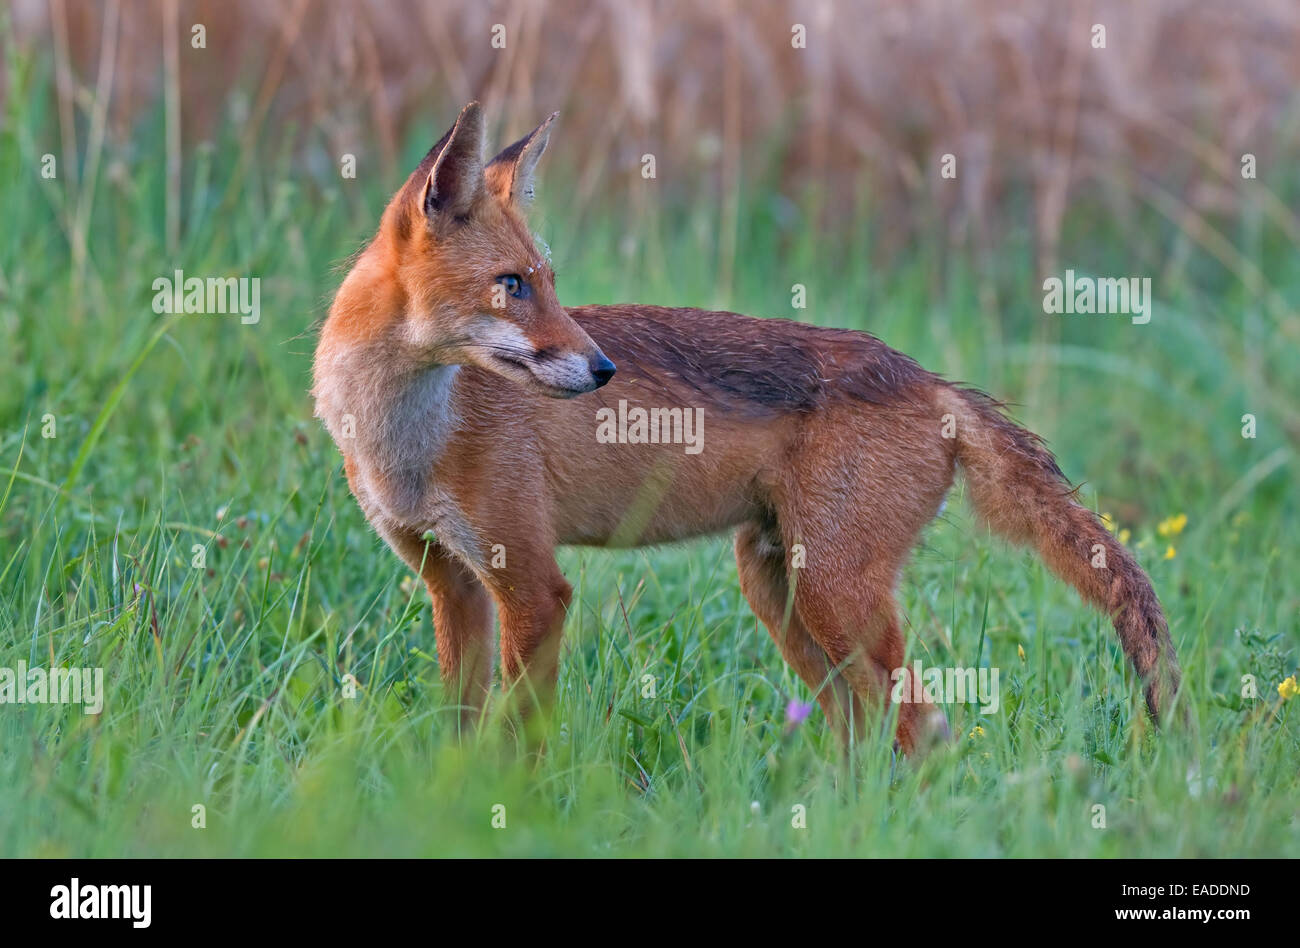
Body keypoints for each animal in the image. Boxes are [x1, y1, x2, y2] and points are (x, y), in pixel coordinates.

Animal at [312, 102, 1181, 753]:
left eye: (548, 284)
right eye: (511, 285)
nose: (603, 370)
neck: (403, 437)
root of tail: (932, 380)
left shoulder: (532, 584)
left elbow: (516, 734)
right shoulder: (450, 579)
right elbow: (458, 725)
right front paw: (449, 797)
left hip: (832, 593)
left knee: (922, 726)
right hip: (779, 590)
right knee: (865, 727)